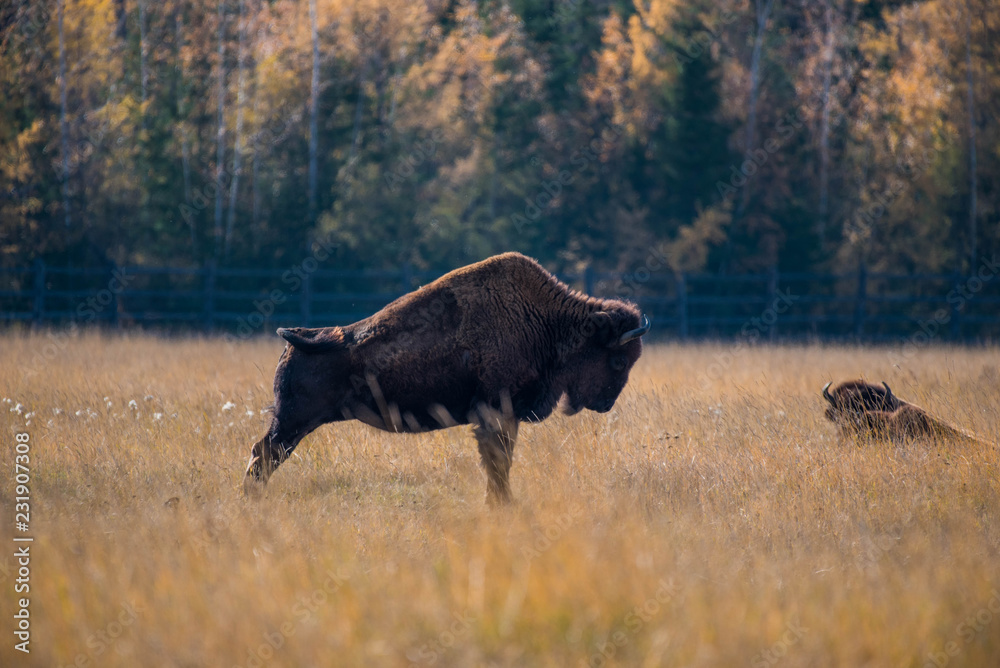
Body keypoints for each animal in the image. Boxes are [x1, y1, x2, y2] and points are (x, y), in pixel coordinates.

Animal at [244, 252, 650, 503]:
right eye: (617, 360)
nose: (606, 404)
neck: (547, 324)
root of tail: (298, 337)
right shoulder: (495, 414)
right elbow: (498, 463)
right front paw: (502, 504)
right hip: (293, 422)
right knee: (265, 454)